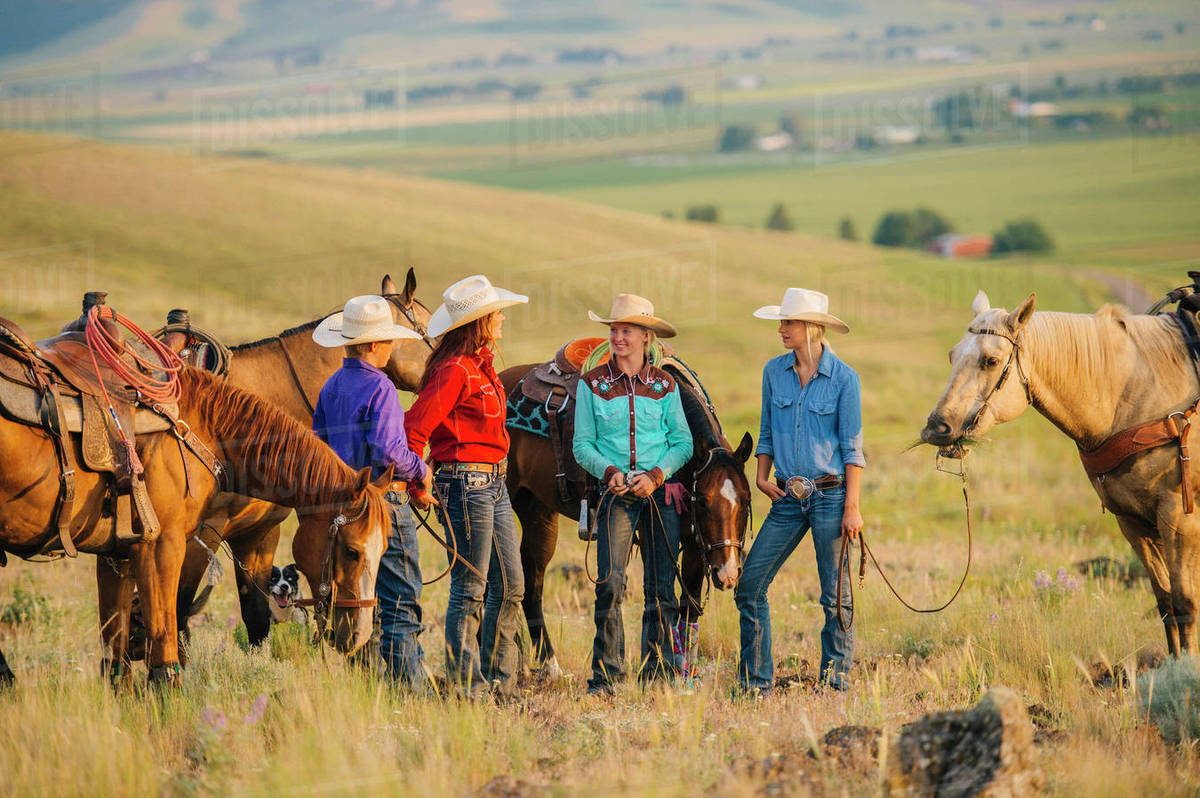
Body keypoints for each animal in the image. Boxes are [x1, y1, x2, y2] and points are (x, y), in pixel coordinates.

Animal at [1, 365, 391, 685]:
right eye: (352, 551)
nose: (360, 636)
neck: (203, 430)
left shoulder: (118, 556)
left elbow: (116, 658)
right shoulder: (163, 547)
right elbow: (165, 649)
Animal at [500, 359, 753, 677]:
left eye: (746, 502)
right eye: (705, 503)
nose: (728, 574)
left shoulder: (697, 545)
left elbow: (690, 605)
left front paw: (684, 671)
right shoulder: (653, 533)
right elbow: (657, 596)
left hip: (538, 512)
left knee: (531, 580)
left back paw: (548, 665)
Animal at [921, 290, 1200, 655]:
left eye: (990, 361)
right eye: (952, 355)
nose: (935, 427)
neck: (1141, 389)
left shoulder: (1179, 518)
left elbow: (1185, 603)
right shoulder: (1133, 522)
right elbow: (1166, 603)